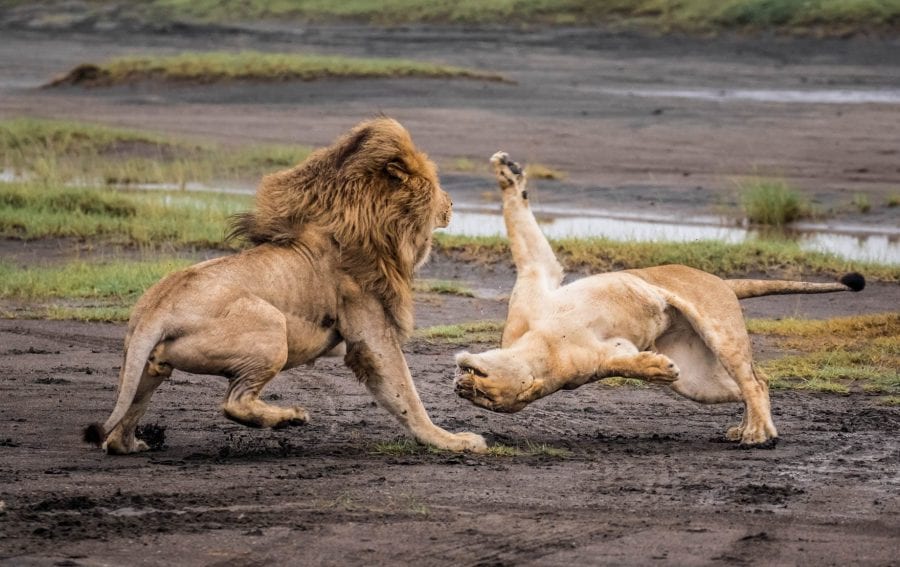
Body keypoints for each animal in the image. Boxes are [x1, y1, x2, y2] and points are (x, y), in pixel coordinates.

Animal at [83, 117, 486, 454]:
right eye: (435, 187)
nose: (452, 202)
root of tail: (156, 309)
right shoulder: (371, 329)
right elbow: (405, 393)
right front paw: (452, 441)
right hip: (272, 328)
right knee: (234, 402)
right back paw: (289, 418)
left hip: (145, 367)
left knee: (121, 426)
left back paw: (131, 444)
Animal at [454, 152, 865, 447]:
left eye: (482, 392)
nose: (458, 386)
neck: (542, 343)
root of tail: (721, 280)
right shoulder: (594, 353)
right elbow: (622, 364)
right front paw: (657, 367)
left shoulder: (536, 282)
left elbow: (521, 233)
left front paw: (508, 172)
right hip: (698, 382)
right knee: (755, 382)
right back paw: (750, 428)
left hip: (716, 326)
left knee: (752, 381)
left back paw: (757, 434)